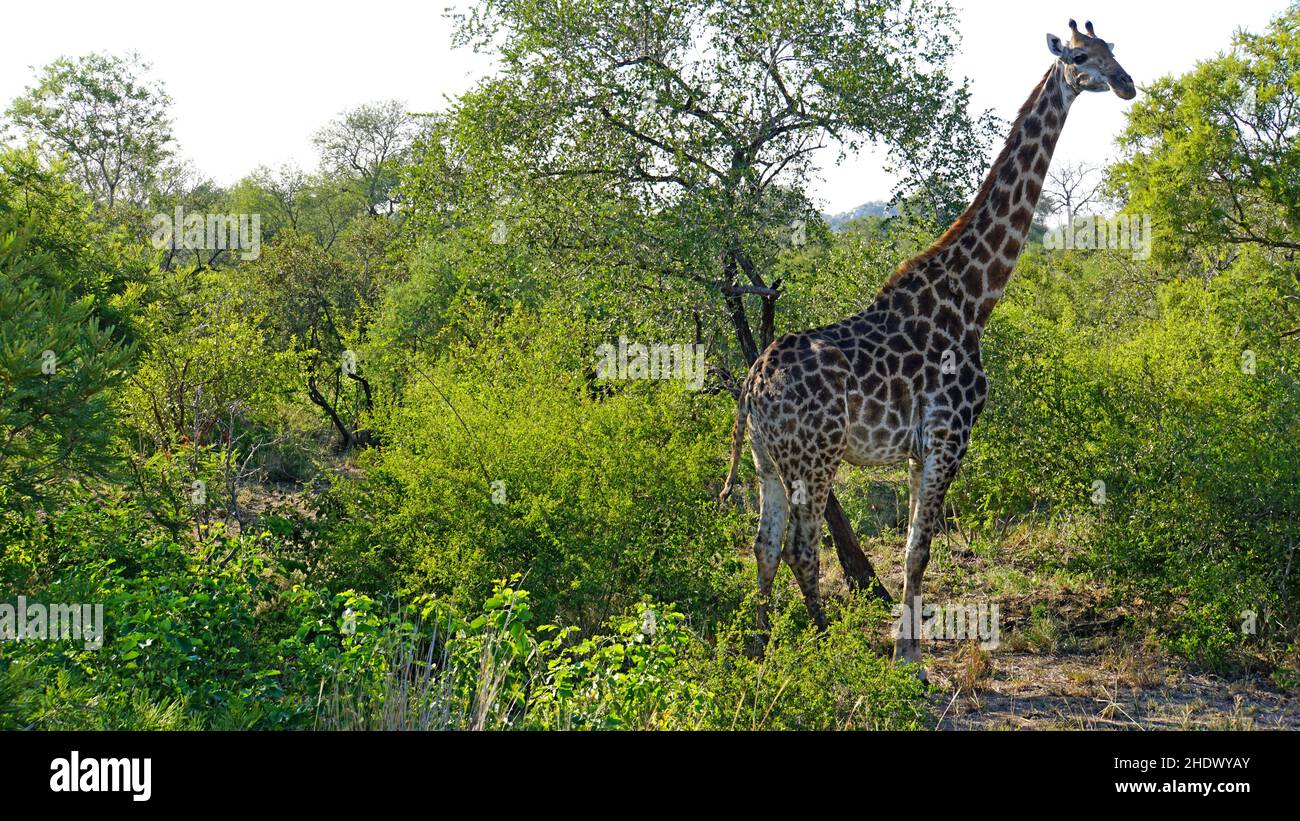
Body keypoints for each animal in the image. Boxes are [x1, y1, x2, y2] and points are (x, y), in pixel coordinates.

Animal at [719, 20, 1135, 680]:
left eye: (1114, 49)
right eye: (1079, 56)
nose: (1126, 83)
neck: (972, 299)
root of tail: (752, 385)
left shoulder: (920, 449)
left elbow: (917, 548)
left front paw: (906, 647)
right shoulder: (950, 435)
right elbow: (918, 551)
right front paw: (907, 660)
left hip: (767, 460)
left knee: (764, 545)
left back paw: (761, 648)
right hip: (815, 457)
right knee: (802, 549)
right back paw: (823, 646)